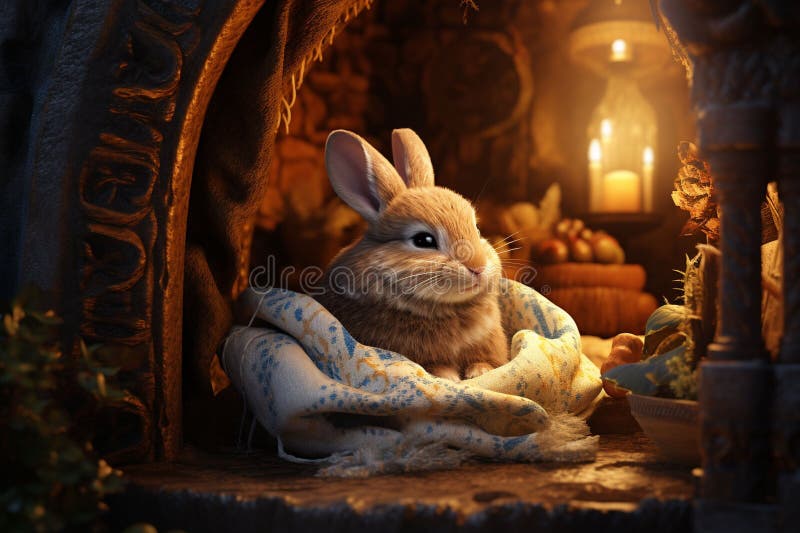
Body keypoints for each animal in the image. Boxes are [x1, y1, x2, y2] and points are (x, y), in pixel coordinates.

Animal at [315, 128, 508, 381]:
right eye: (423, 240)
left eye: (476, 228)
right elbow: (437, 367)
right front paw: (449, 376)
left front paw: (479, 371)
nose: (478, 267)